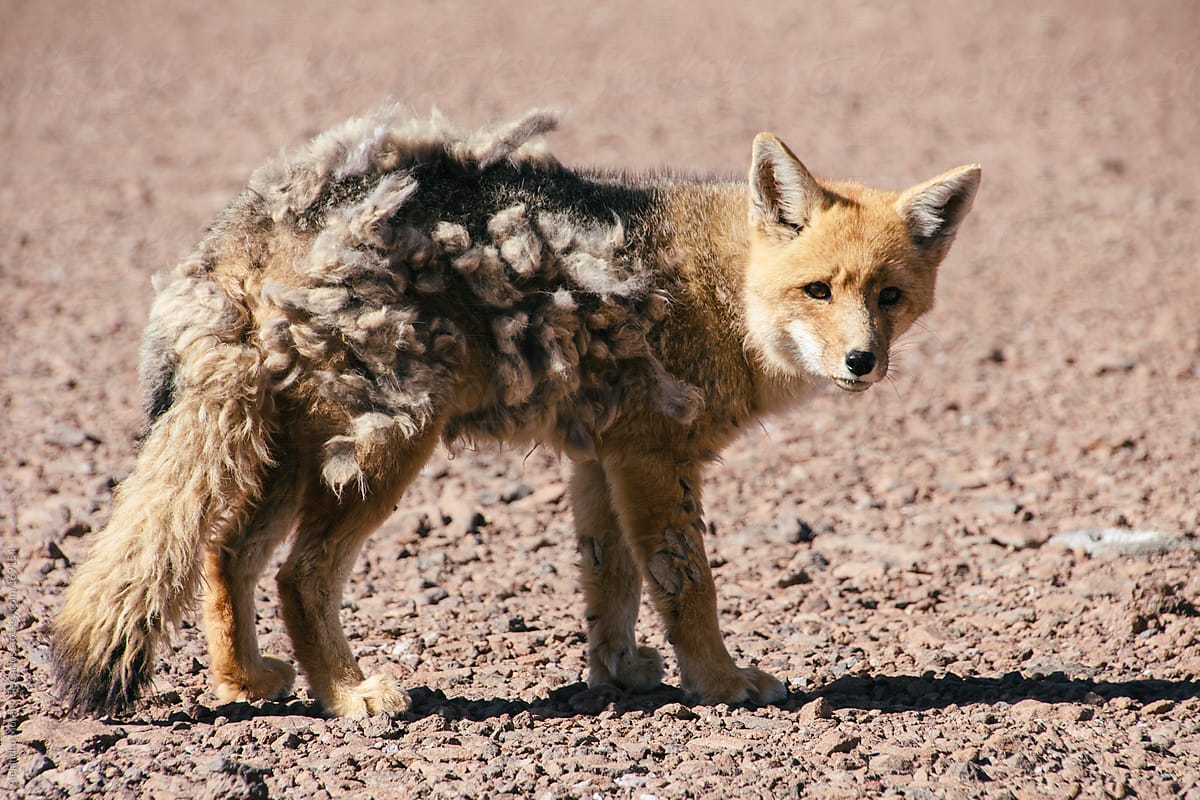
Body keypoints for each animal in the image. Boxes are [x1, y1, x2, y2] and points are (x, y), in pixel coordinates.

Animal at [53, 106, 979, 718]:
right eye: (818, 291)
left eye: (890, 298)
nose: (863, 363)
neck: (720, 287)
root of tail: (248, 226)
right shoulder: (656, 459)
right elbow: (687, 585)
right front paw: (719, 683)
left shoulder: (601, 458)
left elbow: (612, 580)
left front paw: (619, 671)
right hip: (388, 450)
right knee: (295, 574)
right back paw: (348, 696)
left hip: (286, 453)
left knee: (226, 558)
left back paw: (248, 680)